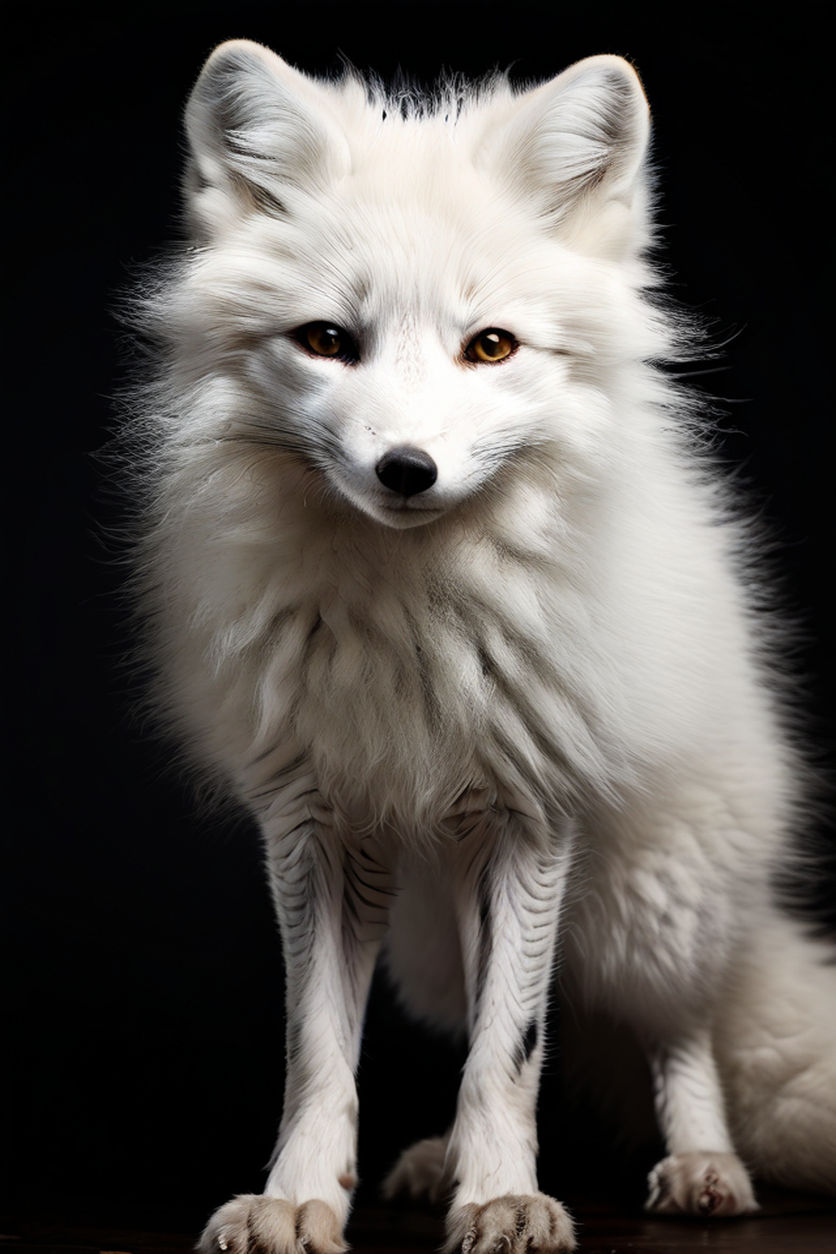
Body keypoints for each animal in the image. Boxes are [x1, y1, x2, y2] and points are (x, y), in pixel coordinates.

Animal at [123, 39, 836, 1254]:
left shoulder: (527, 814)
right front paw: (300, 1196)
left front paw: (504, 1197)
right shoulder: (314, 823)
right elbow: (322, 1053)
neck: (408, 624)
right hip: (428, 934)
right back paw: (432, 1160)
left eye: (489, 347)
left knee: (675, 1026)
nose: (405, 470)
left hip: (651, 906)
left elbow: (515, 1052)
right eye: (327, 341)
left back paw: (703, 1164)